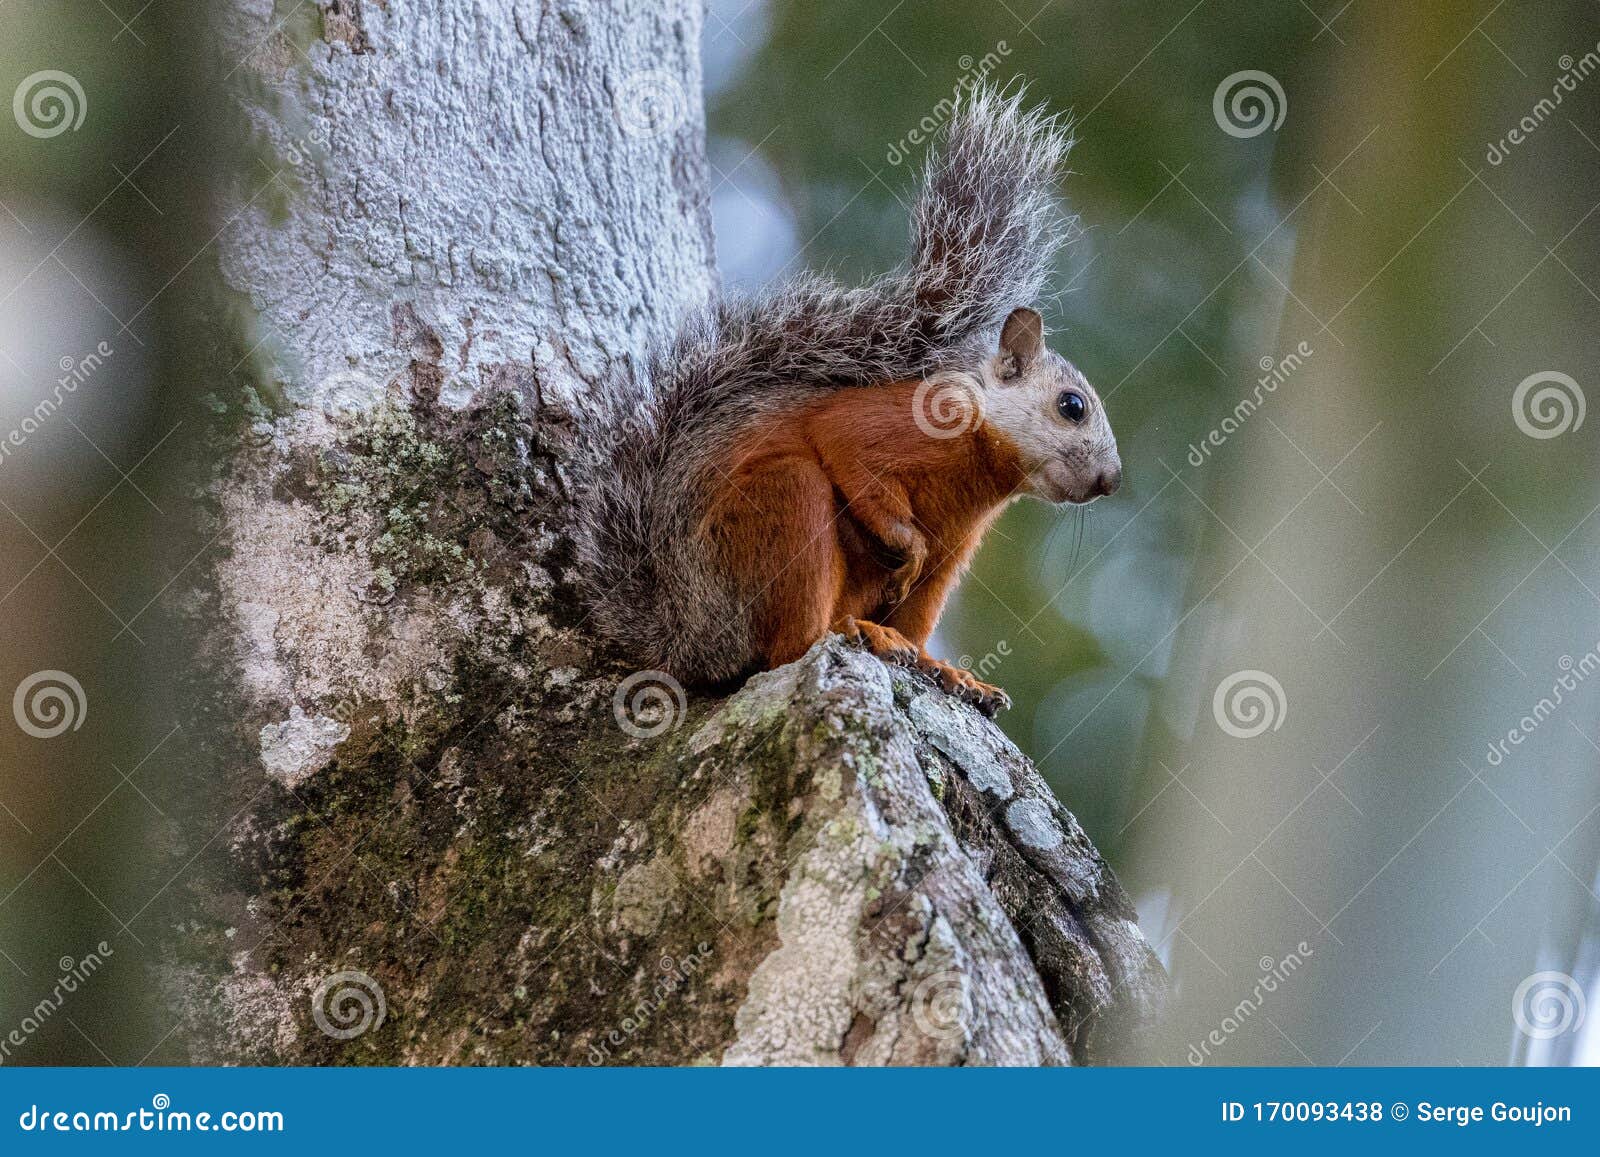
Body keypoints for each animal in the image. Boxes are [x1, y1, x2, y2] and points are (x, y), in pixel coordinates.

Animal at [574, 85, 1120, 715]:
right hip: (780, 506)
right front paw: (905, 549)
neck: (982, 471)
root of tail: (689, 637)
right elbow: (847, 449)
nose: (1111, 480)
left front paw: (948, 670)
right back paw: (848, 631)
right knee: (788, 645)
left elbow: (919, 610)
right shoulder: (891, 425)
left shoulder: (955, 549)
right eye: (1072, 406)